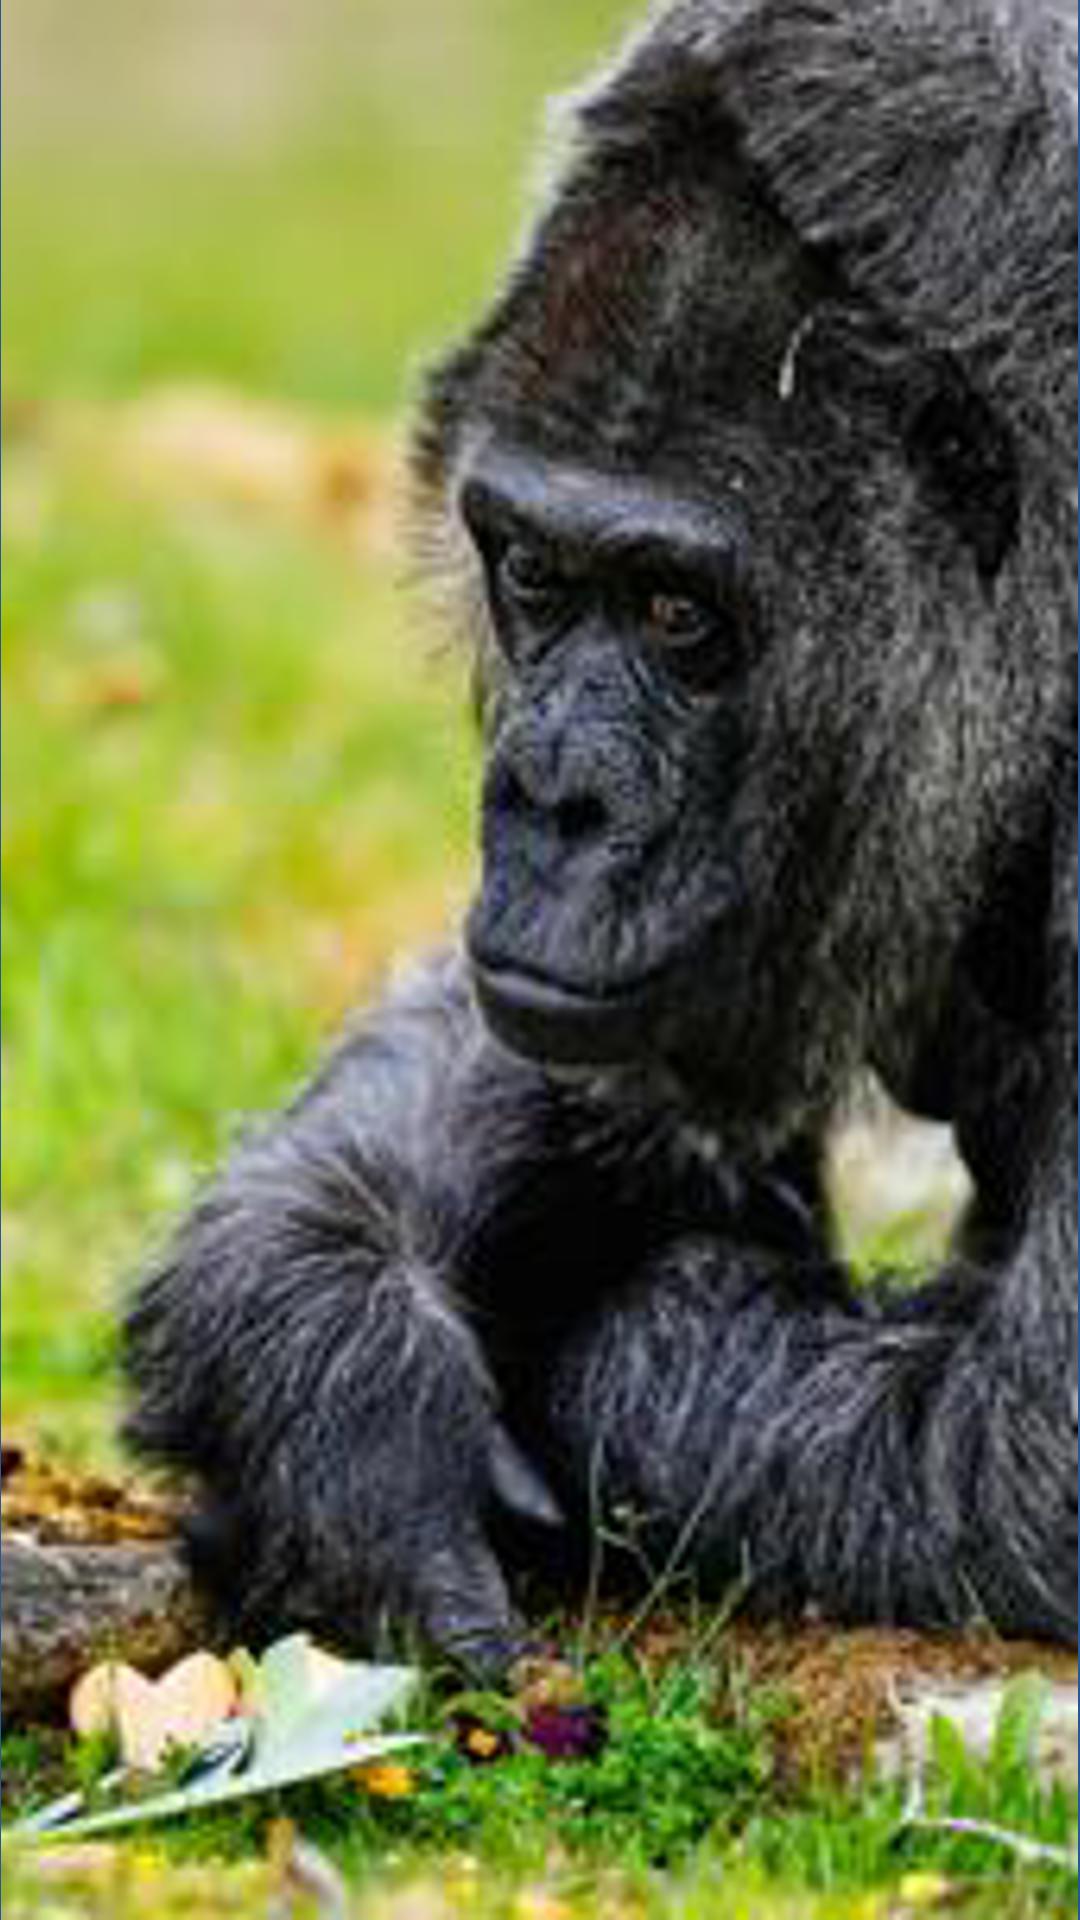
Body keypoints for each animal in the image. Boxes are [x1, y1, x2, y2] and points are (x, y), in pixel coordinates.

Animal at [125, 0, 1078, 1669]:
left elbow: (1027, 1457)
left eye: (679, 615)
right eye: (536, 577)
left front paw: (610, 1352)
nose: (550, 796)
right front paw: (337, 1382)